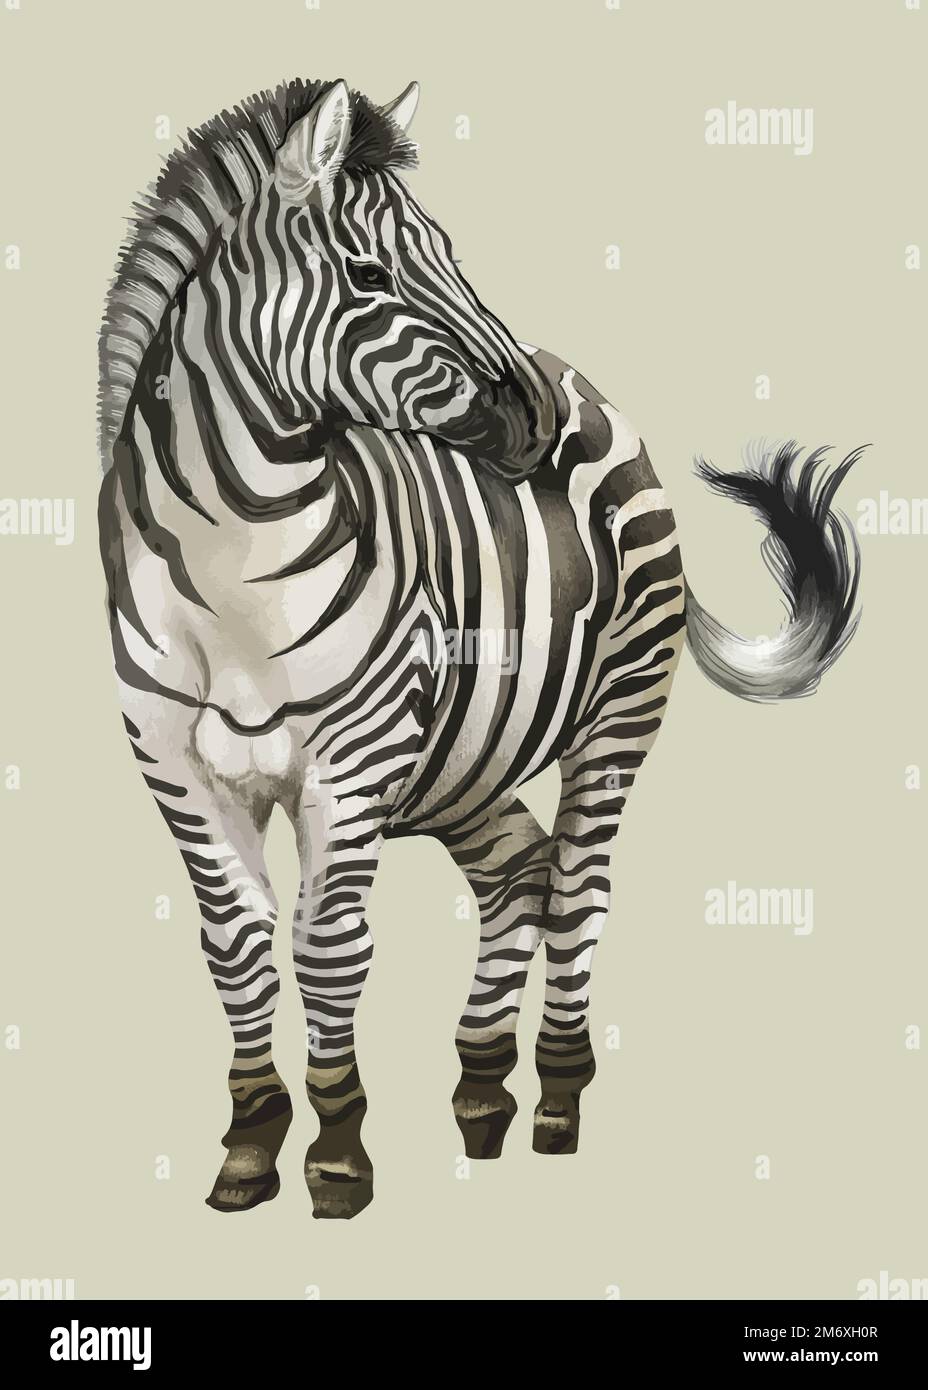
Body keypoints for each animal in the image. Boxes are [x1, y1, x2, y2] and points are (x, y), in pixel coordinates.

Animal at [97, 77, 862, 1219]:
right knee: (521, 872)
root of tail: (586, 381)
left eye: (447, 251)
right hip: (461, 755)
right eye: (368, 275)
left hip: (613, 713)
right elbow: (236, 947)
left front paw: (336, 1159)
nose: (532, 416)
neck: (230, 559)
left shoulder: (352, 763)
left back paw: (555, 1101)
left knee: (578, 886)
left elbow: (330, 947)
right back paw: (480, 1090)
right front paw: (248, 1147)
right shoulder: (175, 765)